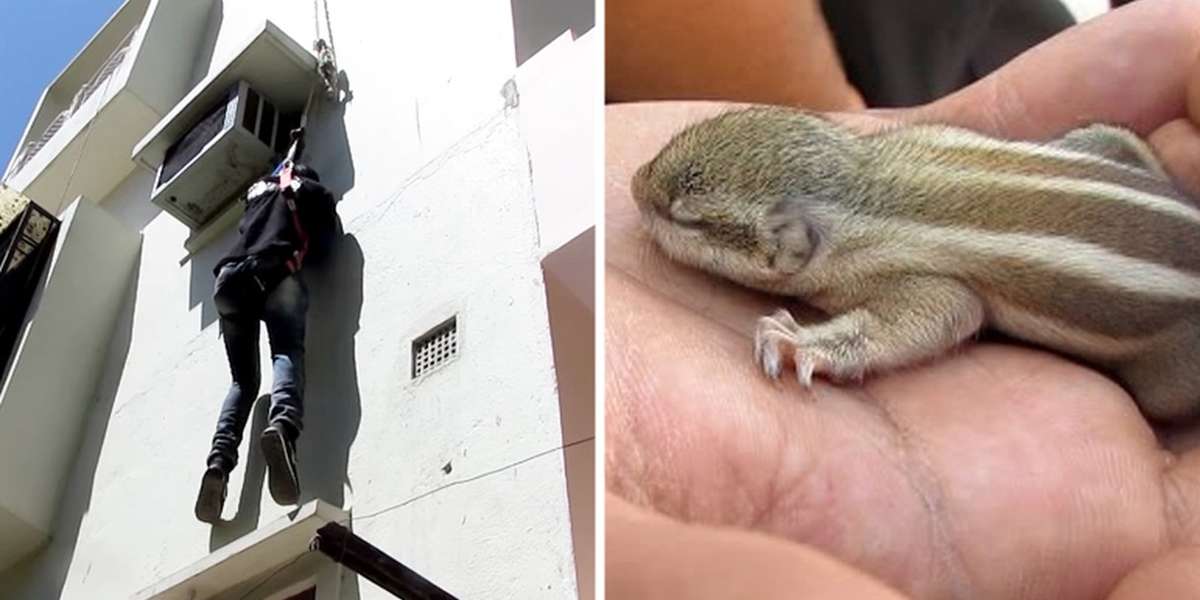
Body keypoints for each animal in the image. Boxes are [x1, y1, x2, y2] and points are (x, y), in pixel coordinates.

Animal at [631, 105, 1200, 422]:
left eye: (682, 216)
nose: (636, 183)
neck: (865, 189)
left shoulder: (921, 279)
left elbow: (946, 313)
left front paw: (799, 342)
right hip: (1110, 136)